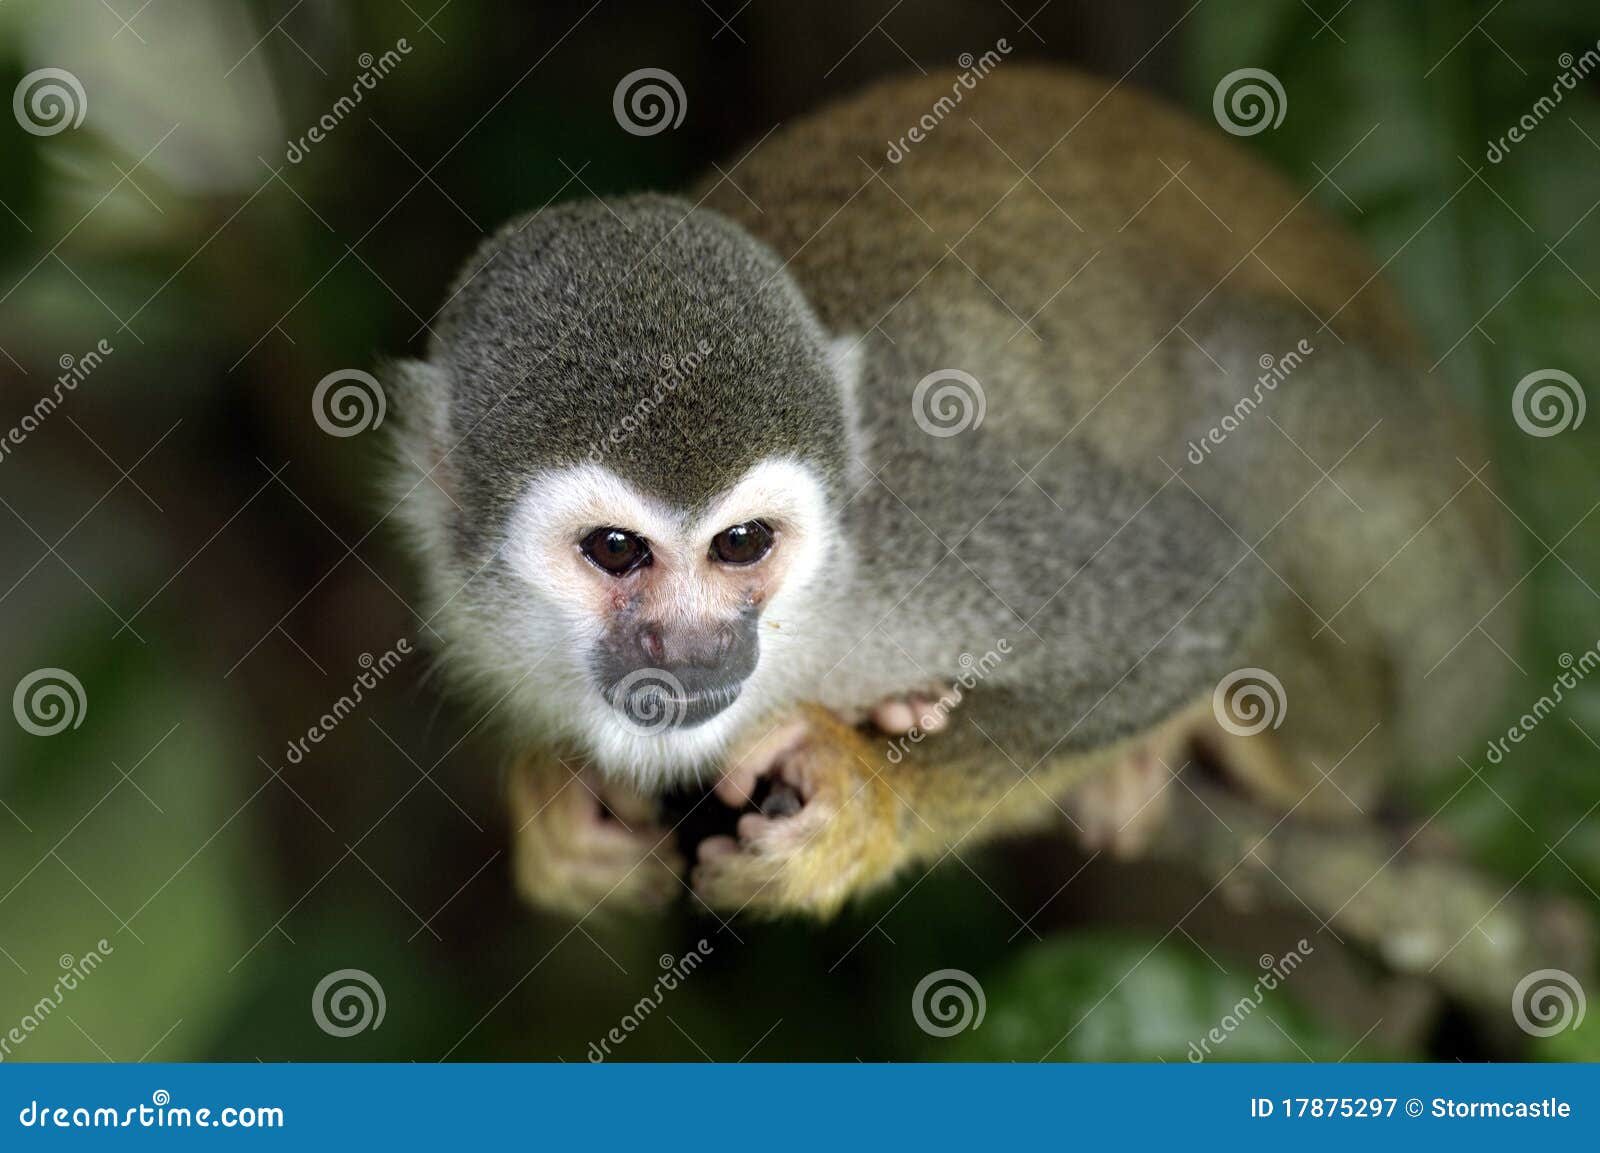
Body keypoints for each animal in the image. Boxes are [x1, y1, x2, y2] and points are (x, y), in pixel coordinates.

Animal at [384, 66, 1558, 997]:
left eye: (742, 545)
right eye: (618, 551)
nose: (693, 649)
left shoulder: (924, 529)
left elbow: (1192, 589)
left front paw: (870, 800)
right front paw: (550, 797)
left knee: (1243, 391)